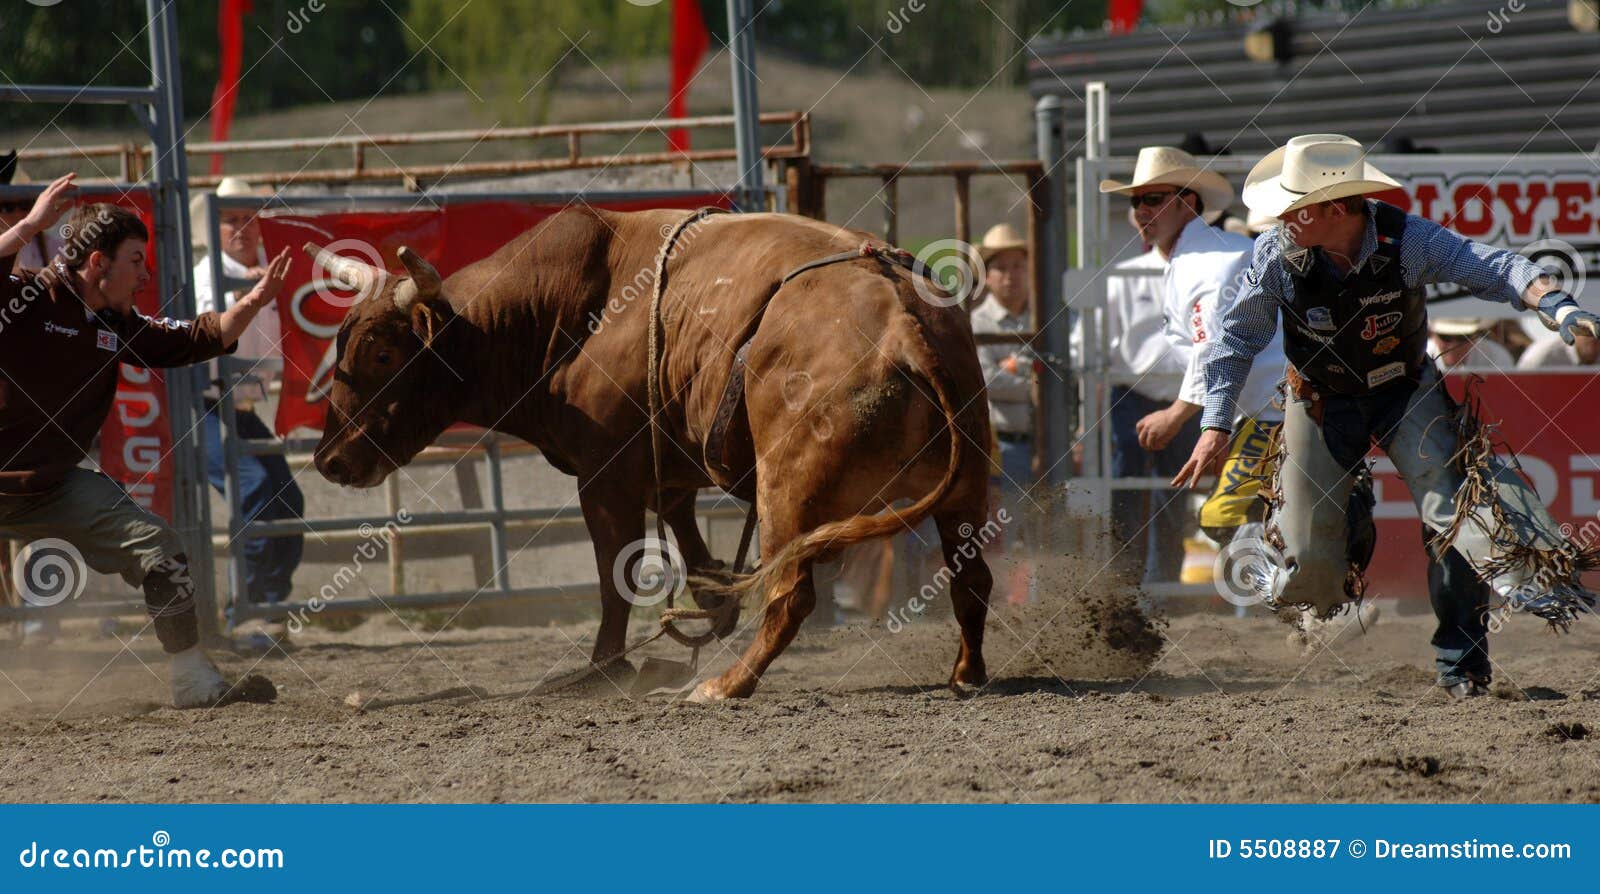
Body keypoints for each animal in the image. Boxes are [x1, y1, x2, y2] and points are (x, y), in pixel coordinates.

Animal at [307, 207, 994, 701]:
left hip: (789, 491)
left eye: (383, 354)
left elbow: (616, 575)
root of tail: (904, 325)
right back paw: (966, 673)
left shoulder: (604, 476)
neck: (562, 310)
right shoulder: (669, 465)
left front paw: (603, 669)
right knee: (971, 578)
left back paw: (725, 685)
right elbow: (682, 529)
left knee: (790, 596)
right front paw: (711, 596)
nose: (330, 461)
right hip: (964, 490)